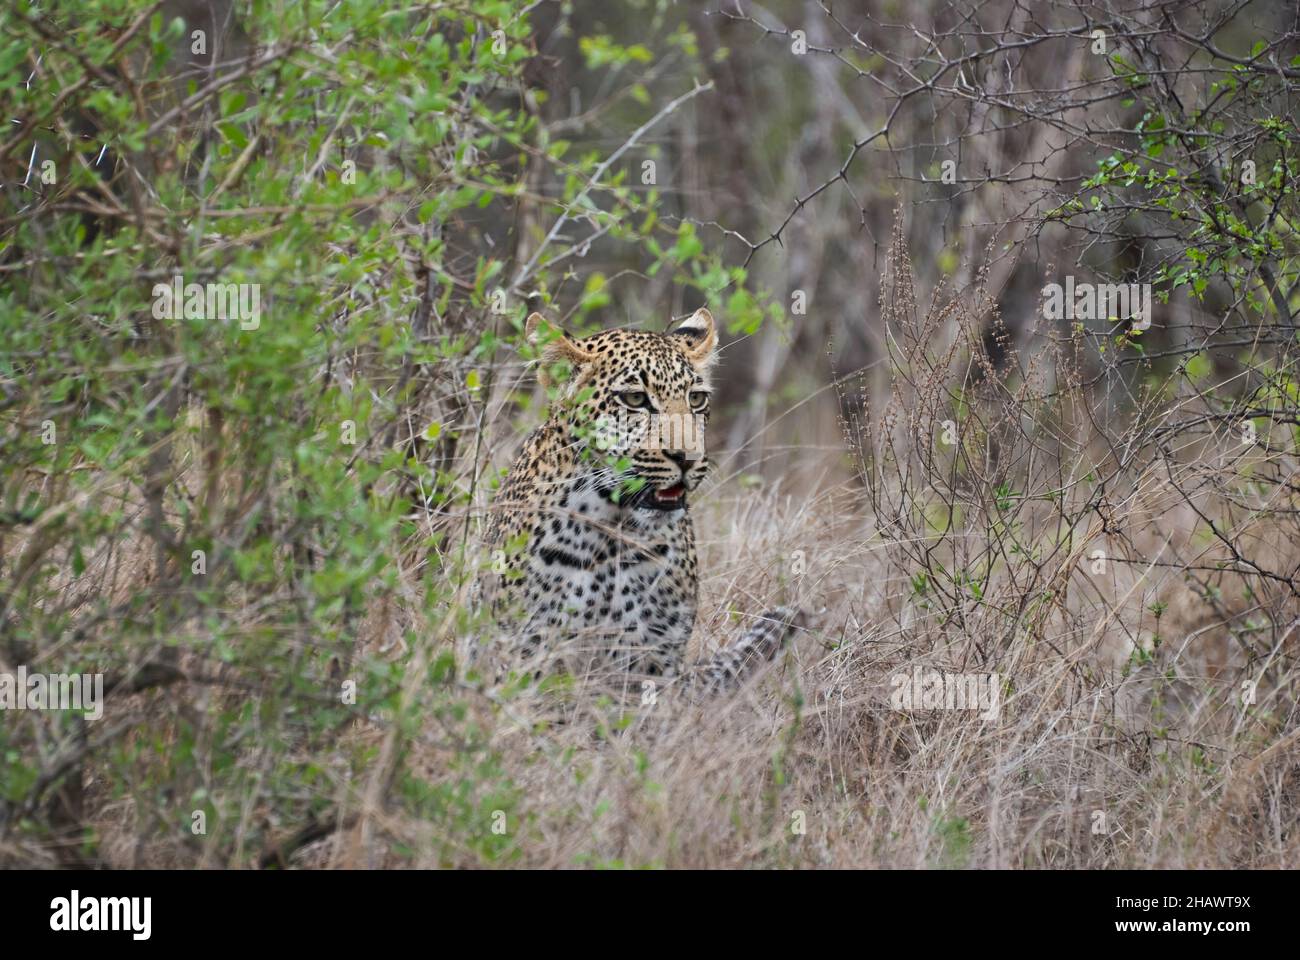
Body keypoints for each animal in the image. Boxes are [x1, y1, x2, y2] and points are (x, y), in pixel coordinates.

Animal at [469, 306, 802, 696]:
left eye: (696, 399)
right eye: (635, 400)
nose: (687, 458)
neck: (610, 531)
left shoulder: (654, 654)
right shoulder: (524, 647)